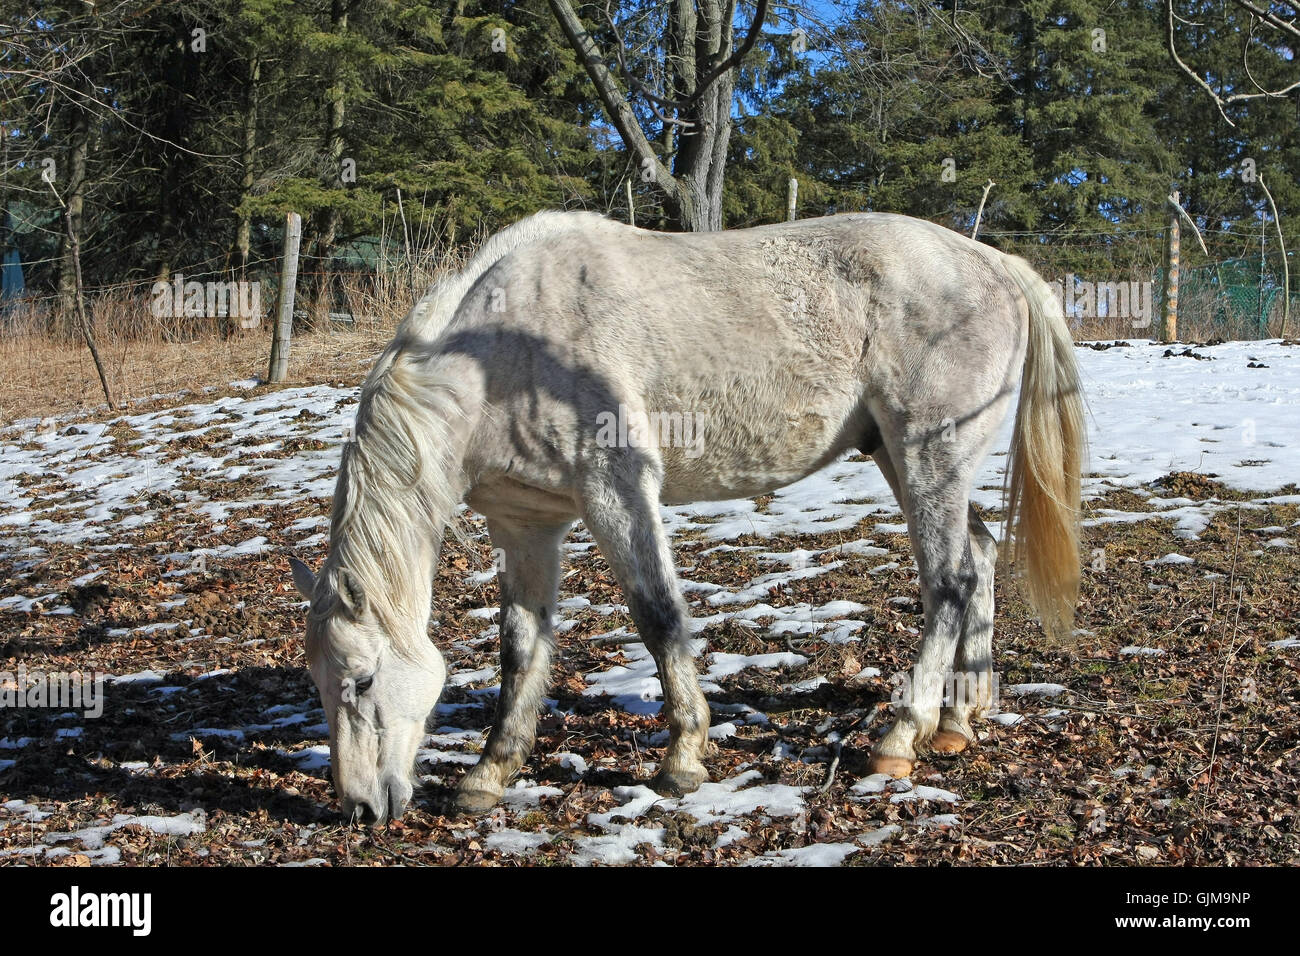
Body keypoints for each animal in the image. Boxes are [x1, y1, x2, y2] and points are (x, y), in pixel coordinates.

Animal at [289, 210, 1085, 824]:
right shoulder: (526, 526)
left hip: (927, 455)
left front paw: (683, 759)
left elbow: (659, 616)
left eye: (363, 681)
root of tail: (993, 261)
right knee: (980, 555)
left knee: (949, 581)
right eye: (320, 684)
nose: (359, 806)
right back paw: (958, 719)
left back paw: (900, 737)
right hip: (905, 458)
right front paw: (490, 774)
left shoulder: (616, 489)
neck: (500, 350)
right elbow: (522, 647)